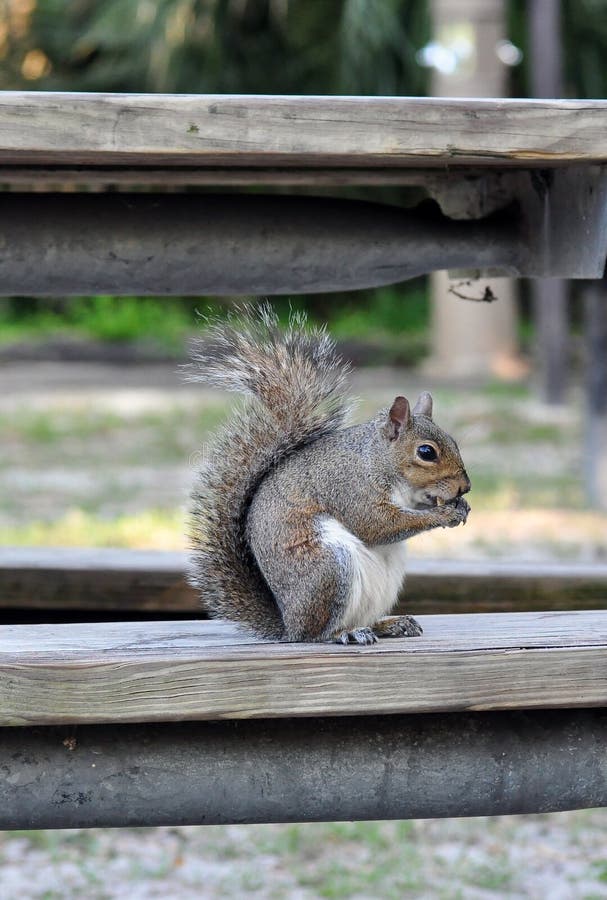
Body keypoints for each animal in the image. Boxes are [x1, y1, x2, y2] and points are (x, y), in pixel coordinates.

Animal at [187, 304, 470, 645]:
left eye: (453, 441)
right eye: (426, 452)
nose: (465, 487)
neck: (375, 459)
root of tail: (289, 625)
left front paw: (460, 507)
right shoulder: (349, 486)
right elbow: (376, 524)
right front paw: (443, 514)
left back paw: (388, 624)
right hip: (329, 568)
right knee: (318, 632)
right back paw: (346, 633)